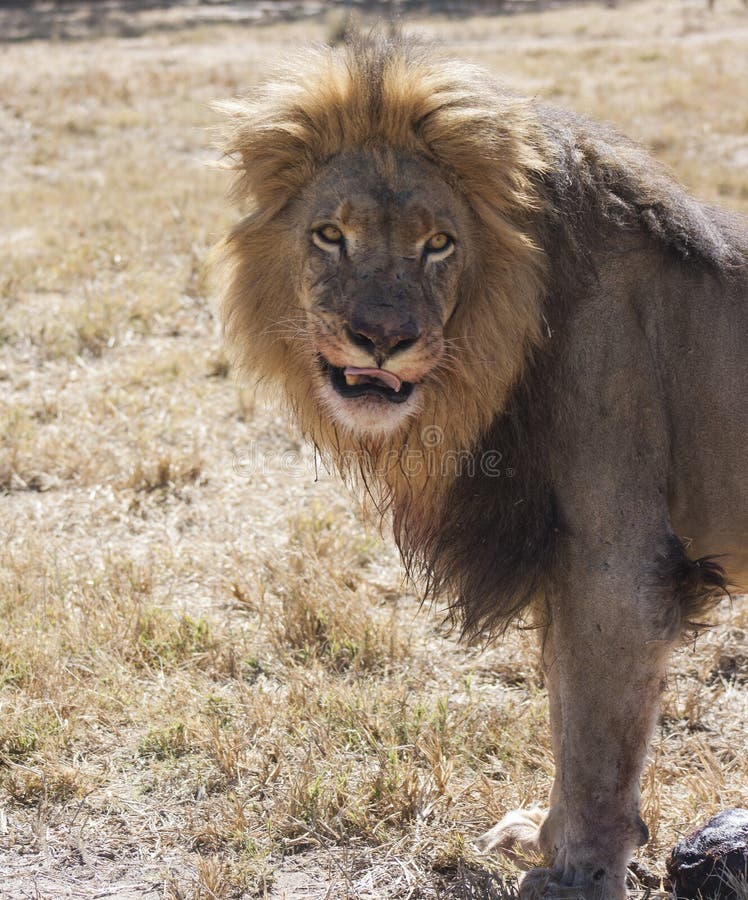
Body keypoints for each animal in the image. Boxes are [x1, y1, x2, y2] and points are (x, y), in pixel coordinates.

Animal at [216, 34, 747, 899]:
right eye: (331, 235)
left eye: (439, 244)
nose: (382, 340)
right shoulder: (566, 560)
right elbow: (566, 711)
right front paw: (545, 839)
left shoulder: (616, 560)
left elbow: (598, 735)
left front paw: (580, 876)